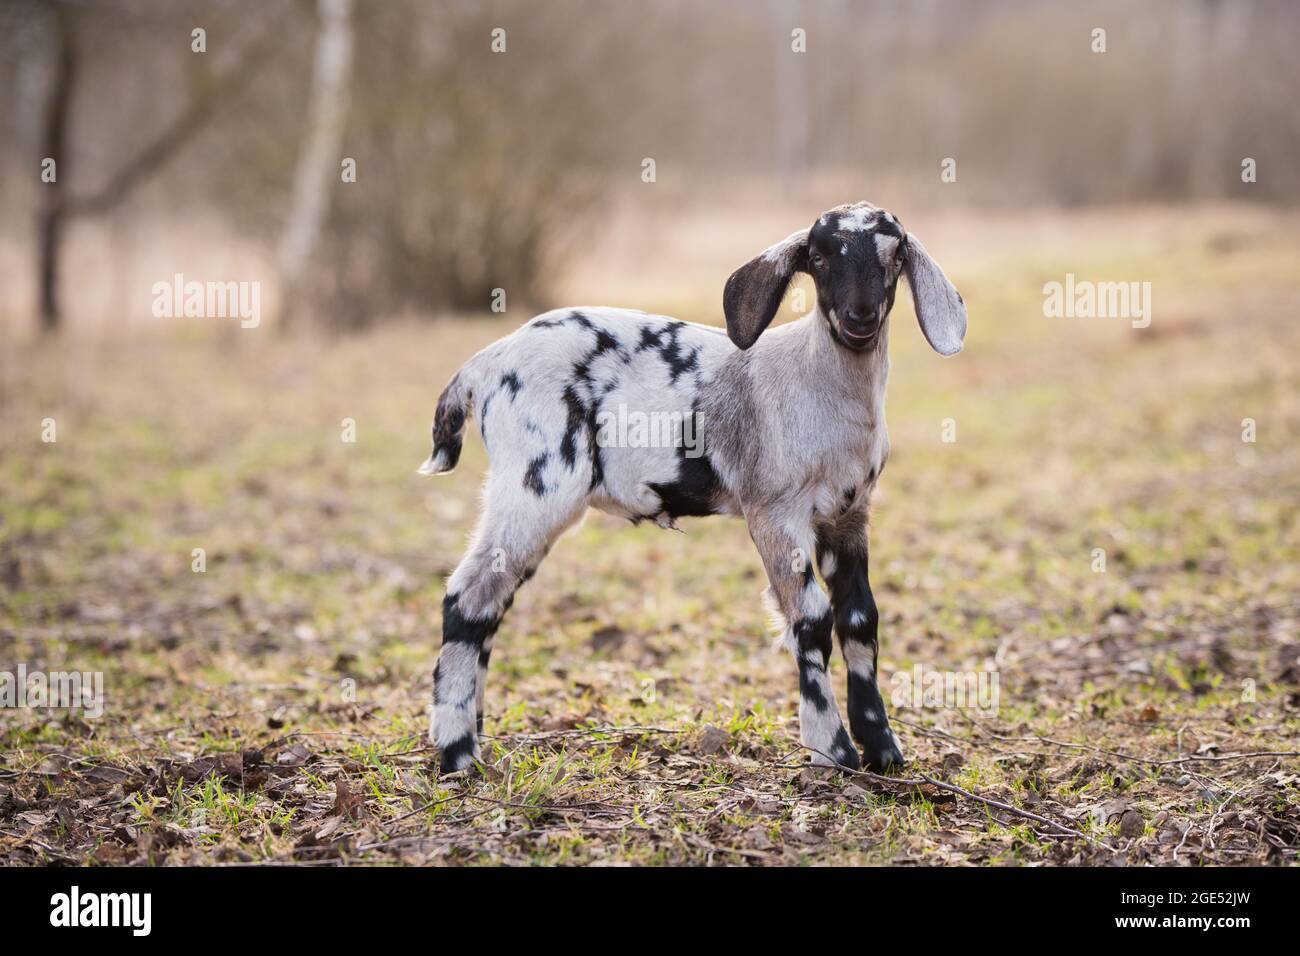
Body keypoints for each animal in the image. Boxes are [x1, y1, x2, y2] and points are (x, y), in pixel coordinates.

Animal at [419, 201, 968, 773]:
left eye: (895, 256)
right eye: (818, 257)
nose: (860, 318)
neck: (816, 382)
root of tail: (482, 366)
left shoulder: (850, 515)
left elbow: (860, 619)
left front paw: (882, 747)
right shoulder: (774, 511)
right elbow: (811, 619)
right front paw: (832, 749)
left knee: (490, 602)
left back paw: (474, 733)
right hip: (536, 483)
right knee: (465, 597)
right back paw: (457, 752)